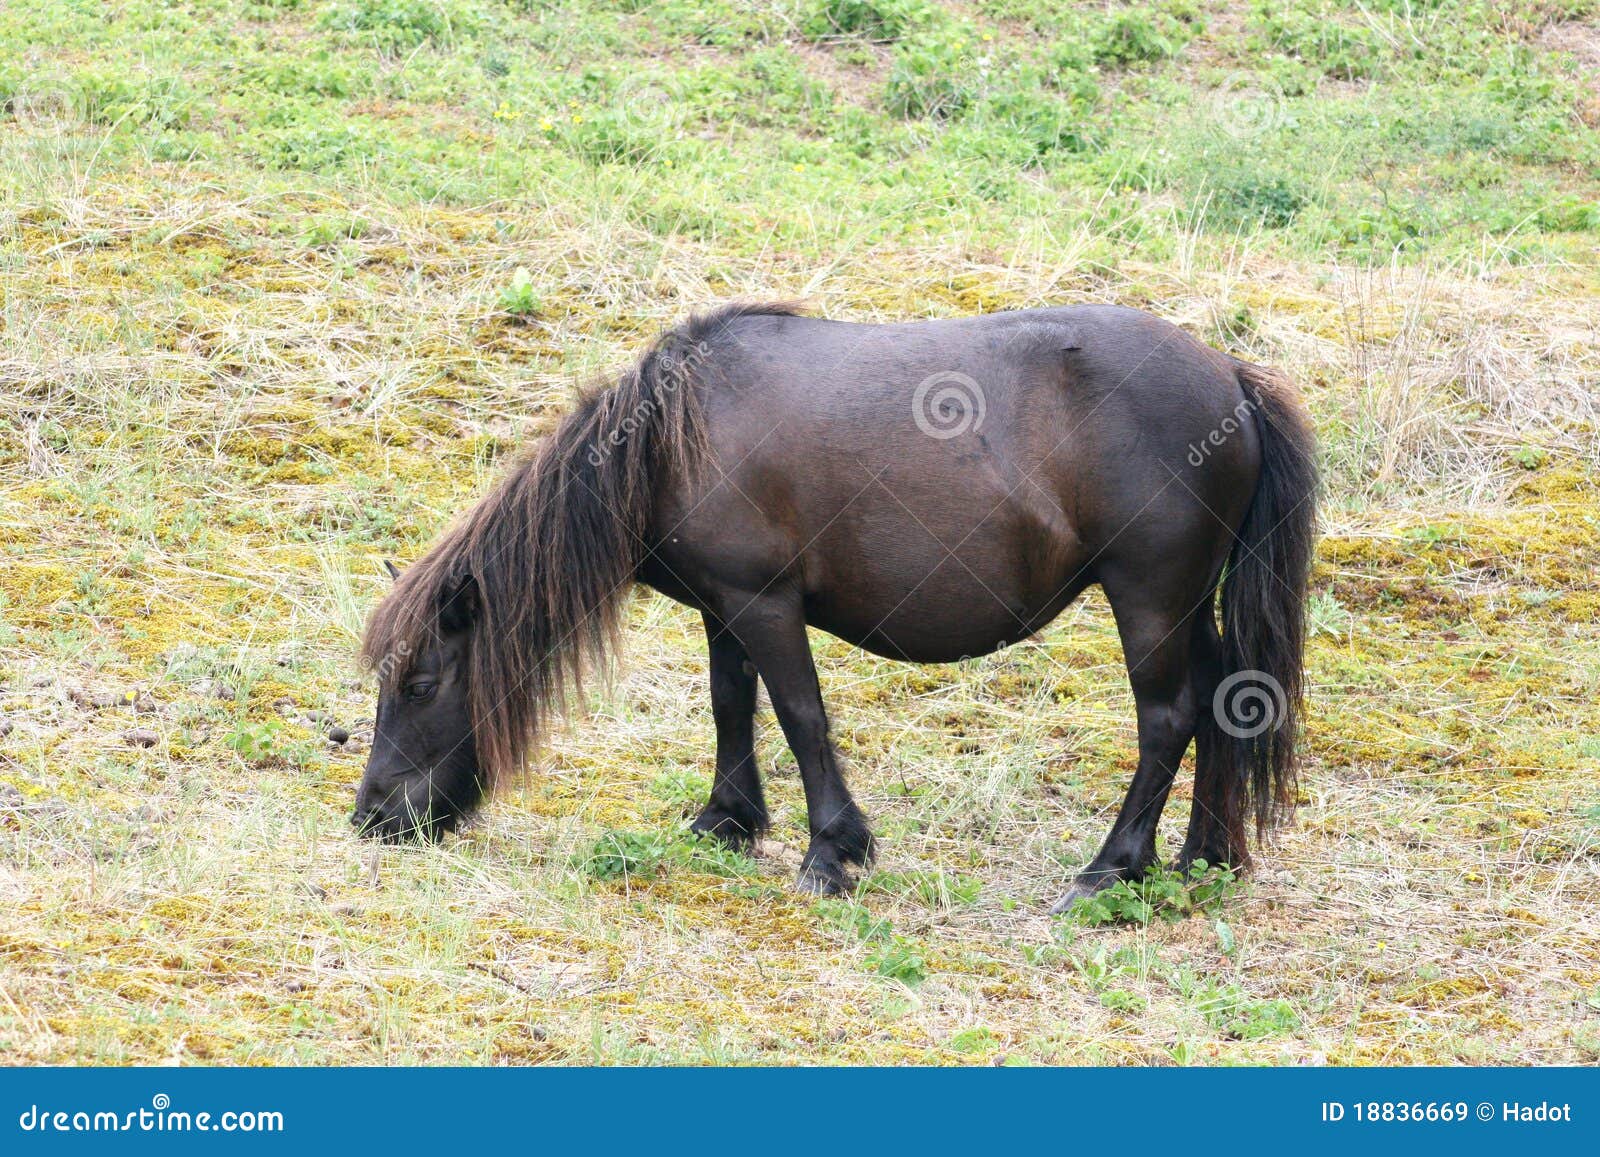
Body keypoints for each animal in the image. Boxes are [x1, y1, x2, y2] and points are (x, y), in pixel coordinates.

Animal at [353, 301, 1316, 912]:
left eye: (421, 683)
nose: (372, 818)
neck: (669, 437)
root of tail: (1232, 378)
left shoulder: (765, 605)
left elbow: (800, 715)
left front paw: (831, 852)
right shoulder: (723, 608)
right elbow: (731, 705)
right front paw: (726, 821)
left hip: (1148, 600)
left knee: (1168, 719)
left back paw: (1111, 868)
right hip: (1188, 608)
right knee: (1221, 705)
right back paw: (1204, 857)